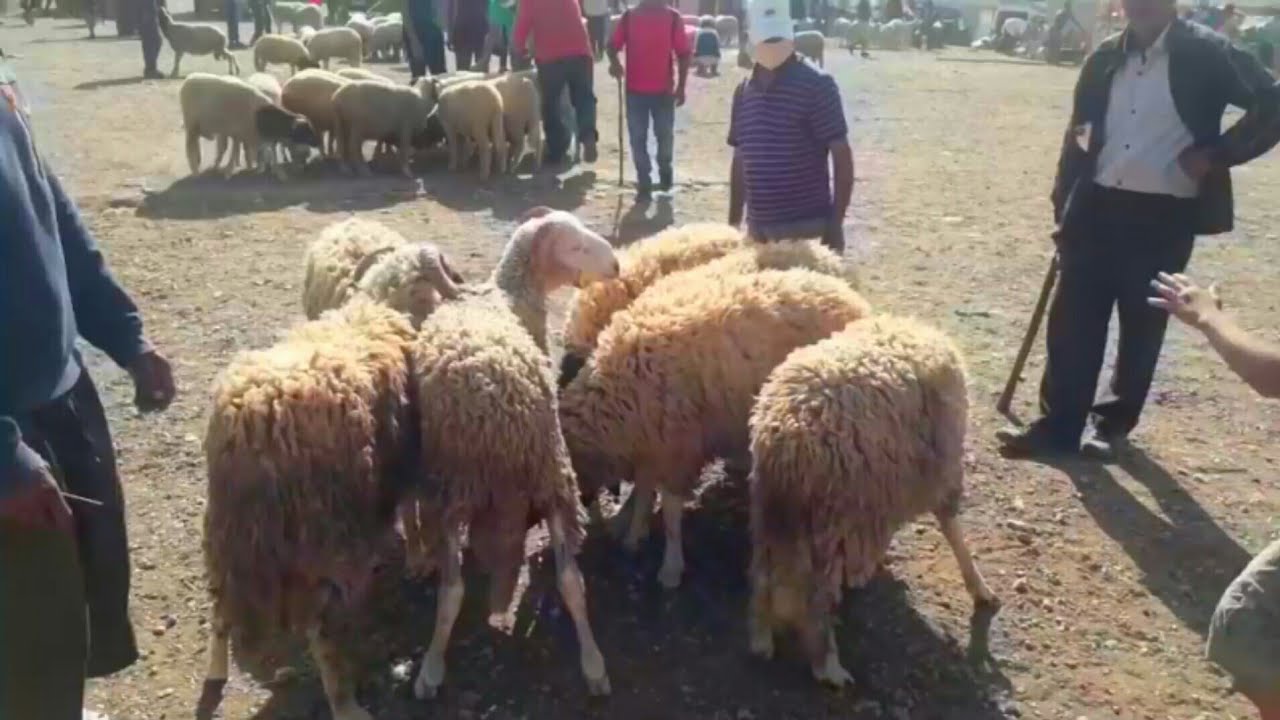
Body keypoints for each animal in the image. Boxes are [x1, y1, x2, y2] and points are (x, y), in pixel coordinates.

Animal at [198, 296, 419, 720]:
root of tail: (255, 423)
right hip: (322, 537)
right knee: (322, 631)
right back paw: (345, 702)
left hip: (227, 534)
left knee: (220, 607)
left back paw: (215, 670)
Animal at [400, 207, 620, 700]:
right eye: (575, 245)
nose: (616, 265)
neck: (503, 294)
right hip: (534, 474)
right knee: (560, 581)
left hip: (496, 481)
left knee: (460, 590)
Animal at [559, 268, 871, 589]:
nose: (586, 505)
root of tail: (849, 296)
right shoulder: (651, 446)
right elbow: (644, 493)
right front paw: (634, 536)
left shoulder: (677, 450)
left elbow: (670, 514)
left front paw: (671, 567)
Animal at [747, 316, 1001, 686]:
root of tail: (786, 441)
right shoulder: (942, 468)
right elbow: (952, 528)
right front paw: (979, 588)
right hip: (832, 521)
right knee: (816, 597)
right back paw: (828, 666)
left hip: (772, 514)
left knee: (764, 574)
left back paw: (762, 637)